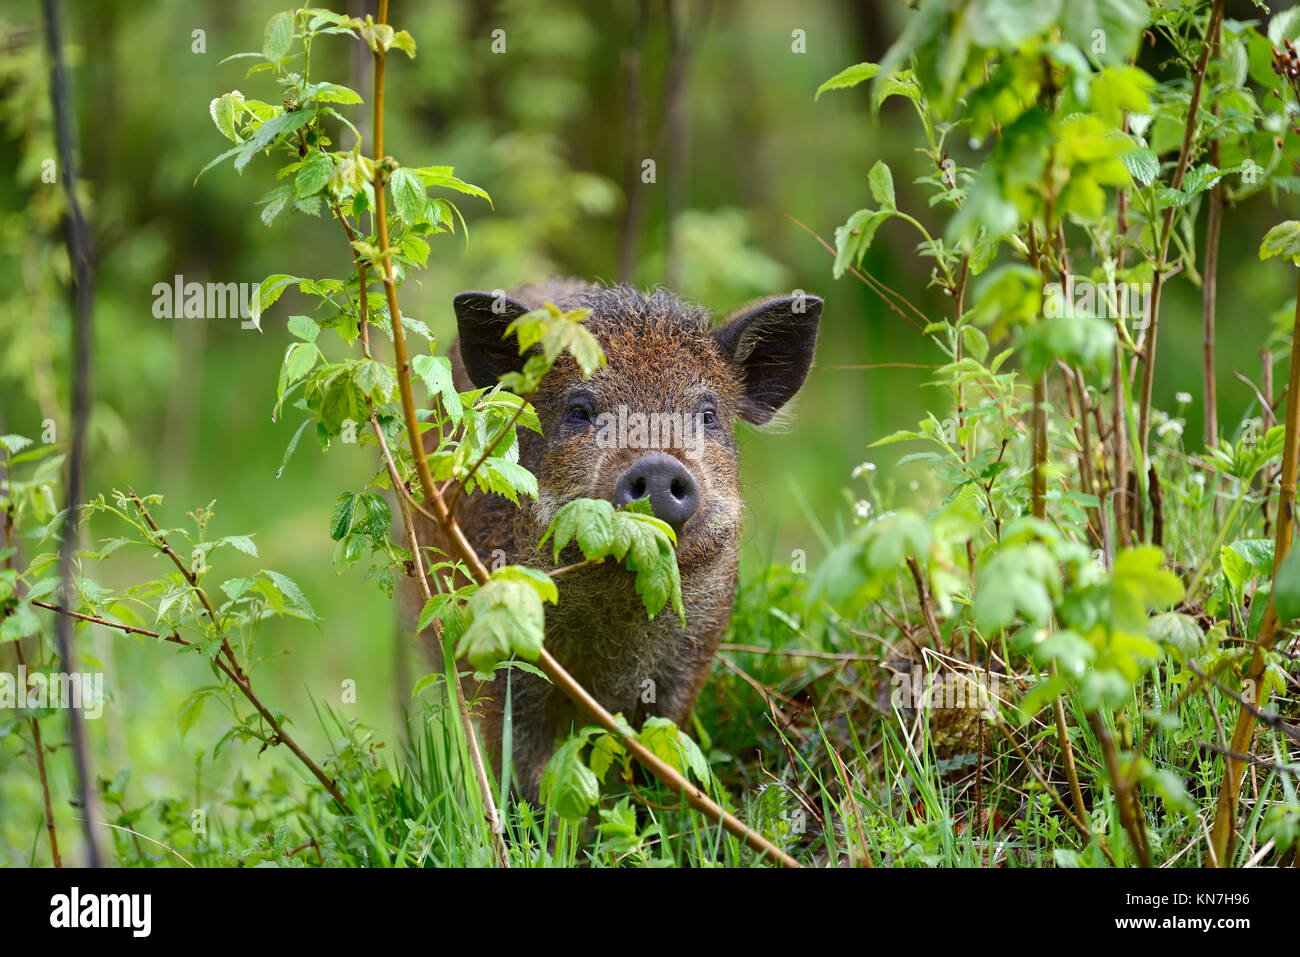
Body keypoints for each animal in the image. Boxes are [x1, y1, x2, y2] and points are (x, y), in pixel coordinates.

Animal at [424, 279, 820, 800]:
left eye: (708, 414)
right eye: (580, 410)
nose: (658, 465)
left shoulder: (694, 649)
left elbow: (661, 743)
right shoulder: (502, 651)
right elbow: (521, 765)